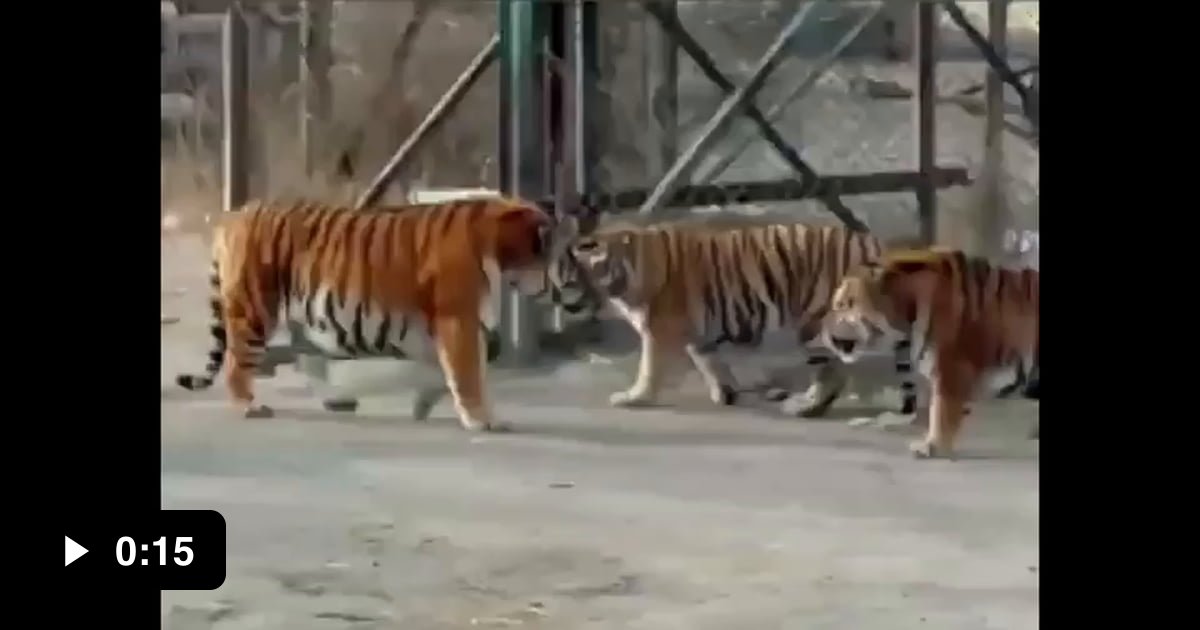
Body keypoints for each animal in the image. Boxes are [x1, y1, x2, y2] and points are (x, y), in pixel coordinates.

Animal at [174, 196, 558, 432]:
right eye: (552, 254)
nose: (556, 288)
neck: (495, 241)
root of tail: (234, 215)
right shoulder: (457, 318)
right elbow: (468, 374)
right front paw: (482, 420)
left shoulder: (443, 326)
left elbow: (448, 371)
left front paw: (424, 405)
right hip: (254, 306)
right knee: (238, 362)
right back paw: (249, 406)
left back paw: (334, 400)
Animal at [547, 221, 920, 418]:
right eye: (567, 277)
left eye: (579, 275)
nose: (567, 298)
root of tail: (873, 242)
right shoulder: (698, 333)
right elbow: (710, 361)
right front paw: (726, 393)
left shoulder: (659, 329)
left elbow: (649, 367)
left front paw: (634, 397)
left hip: (816, 322)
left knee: (833, 371)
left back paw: (803, 406)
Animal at [820, 248, 1039, 459]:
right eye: (838, 304)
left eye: (844, 304)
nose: (823, 332)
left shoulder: (951, 369)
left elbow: (940, 411)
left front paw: (931, 447)